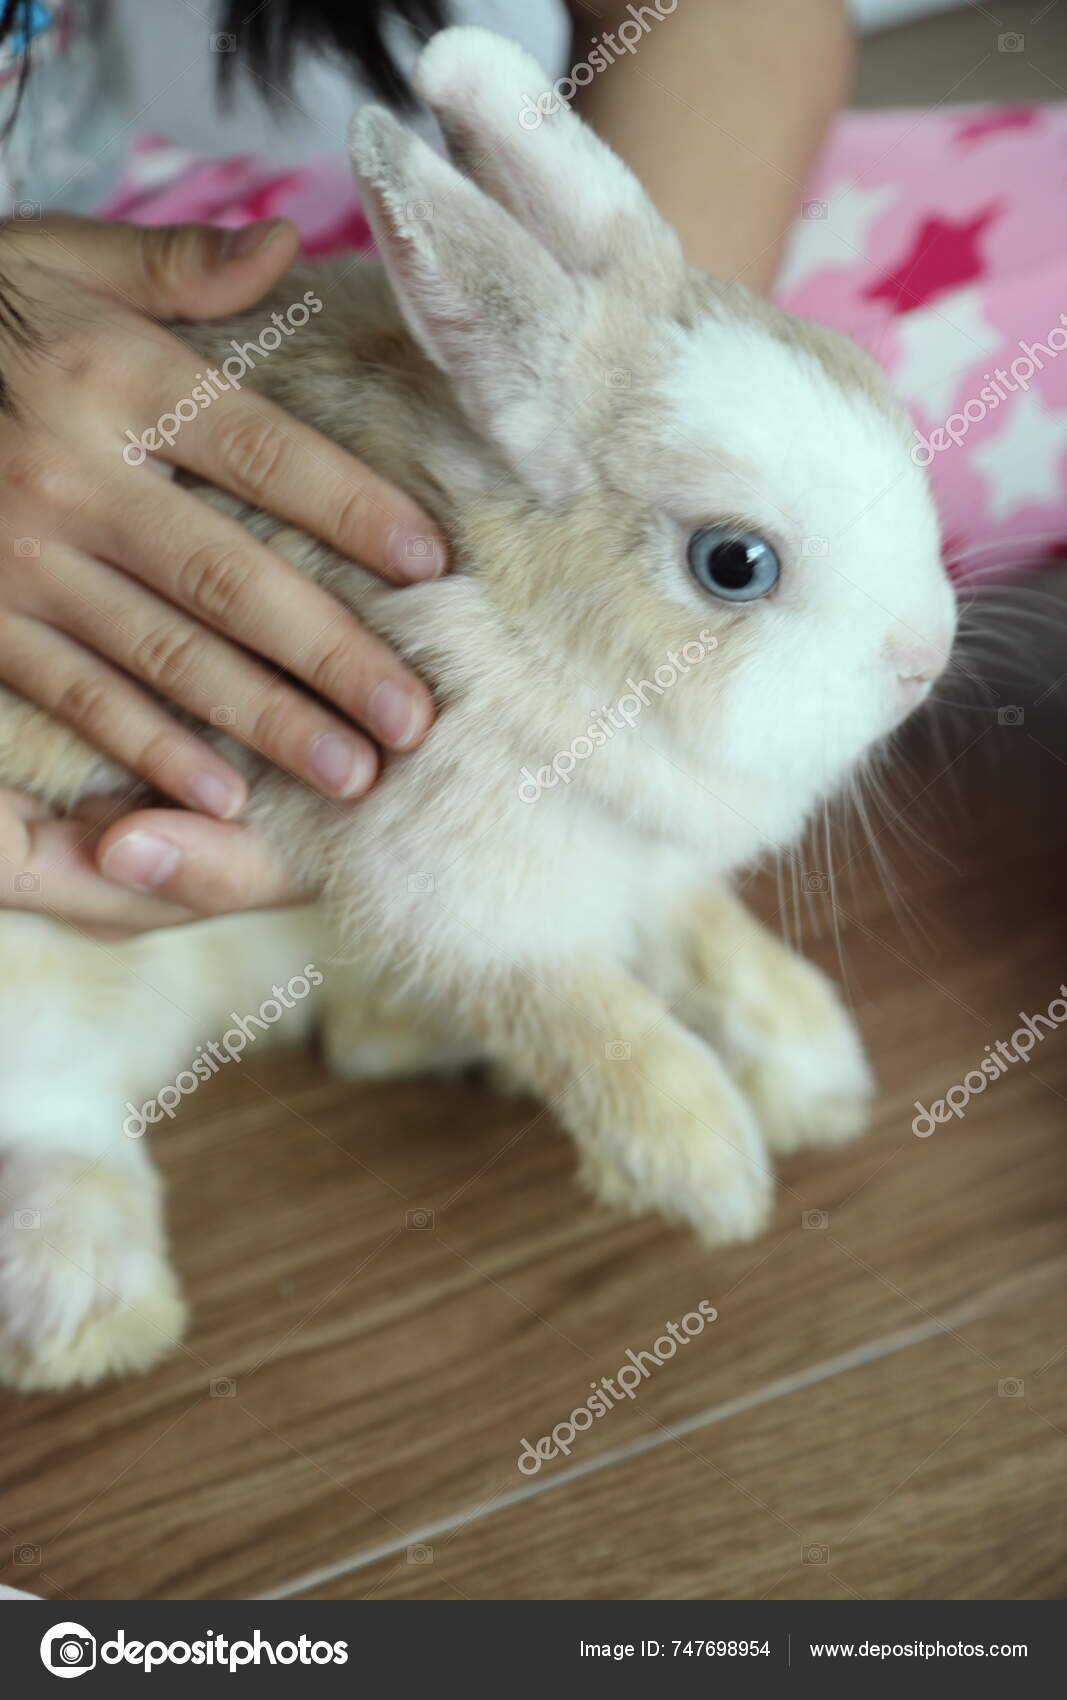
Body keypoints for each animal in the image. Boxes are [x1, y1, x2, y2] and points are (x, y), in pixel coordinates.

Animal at [0, 26, 957, 1392]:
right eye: (733, 564)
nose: (922, 656)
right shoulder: (457, 879)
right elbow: (590, 1015)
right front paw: (711, 1167)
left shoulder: (639, 862)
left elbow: (702, 936)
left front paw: (812, 1067)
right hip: (42, 981)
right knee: (62, 1116)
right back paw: (96, 1314)